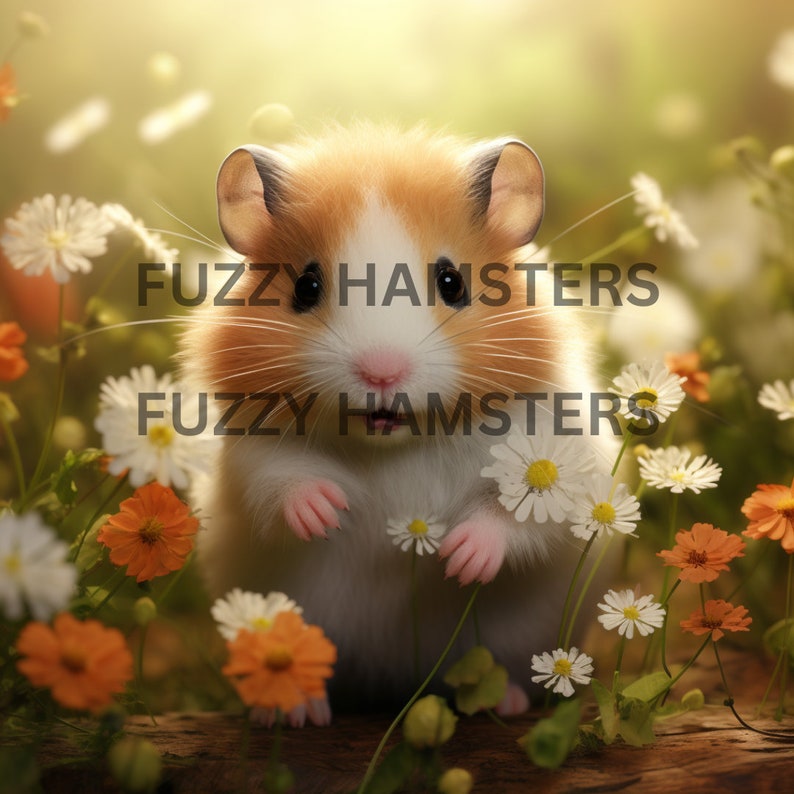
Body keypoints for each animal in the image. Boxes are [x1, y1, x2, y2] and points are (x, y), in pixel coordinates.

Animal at [180, 124, 613, 722]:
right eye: (306, 287)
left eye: (452, 282)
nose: (381, 371)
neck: (395, 445)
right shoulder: (248, 448)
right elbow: (280, 481)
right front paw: (329, 512)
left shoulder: (563, 450)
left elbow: (518, 517)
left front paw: (457, 558)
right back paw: (294, 711)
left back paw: (506, 700)